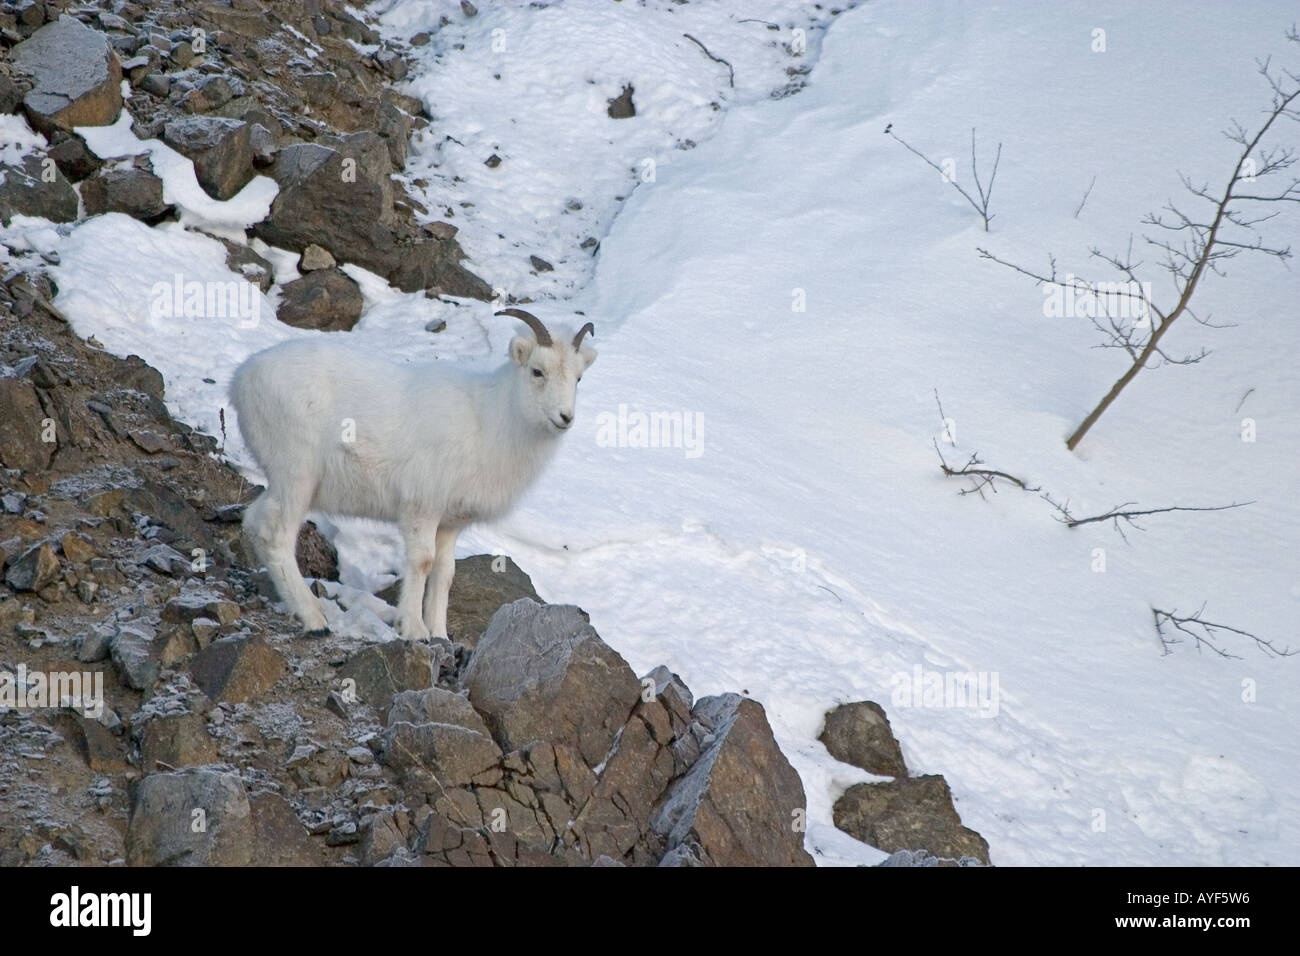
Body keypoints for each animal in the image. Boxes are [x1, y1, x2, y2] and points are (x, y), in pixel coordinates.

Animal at [229, 308, 596, 640]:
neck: (488, 422)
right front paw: (415, 631)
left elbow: (445, 574)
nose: (565, 417)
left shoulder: (449, 524)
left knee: (254, 522)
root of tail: (242, 378)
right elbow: (422, 563)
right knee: (275, 534)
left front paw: (440, 635)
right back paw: (314, 619)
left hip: (283, 483)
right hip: (297, 478)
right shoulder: (422, 509)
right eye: (537, 371)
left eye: (579, 378)